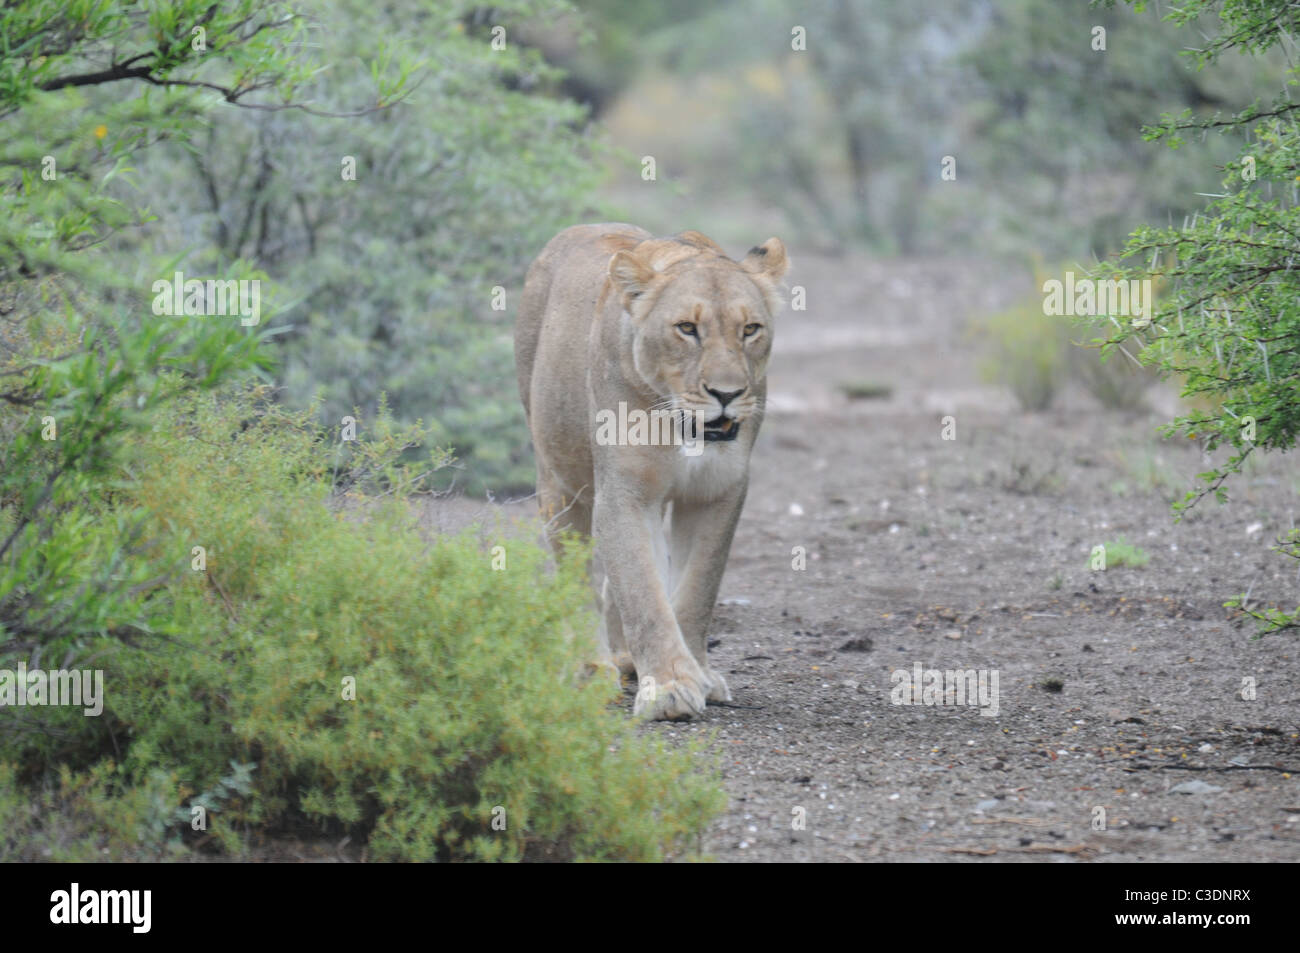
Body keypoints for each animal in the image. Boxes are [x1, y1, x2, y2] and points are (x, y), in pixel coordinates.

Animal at [515, 223, 788, 720]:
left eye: (750, 329)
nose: (727, 394)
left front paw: (697, 675)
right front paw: (669, 689)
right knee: (576, 574)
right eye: (687, 329)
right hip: (557, 479)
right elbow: (643, 592)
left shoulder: (717, 492)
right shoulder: (624, 493)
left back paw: (626, 659)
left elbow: (695, 590)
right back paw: (590, 668)